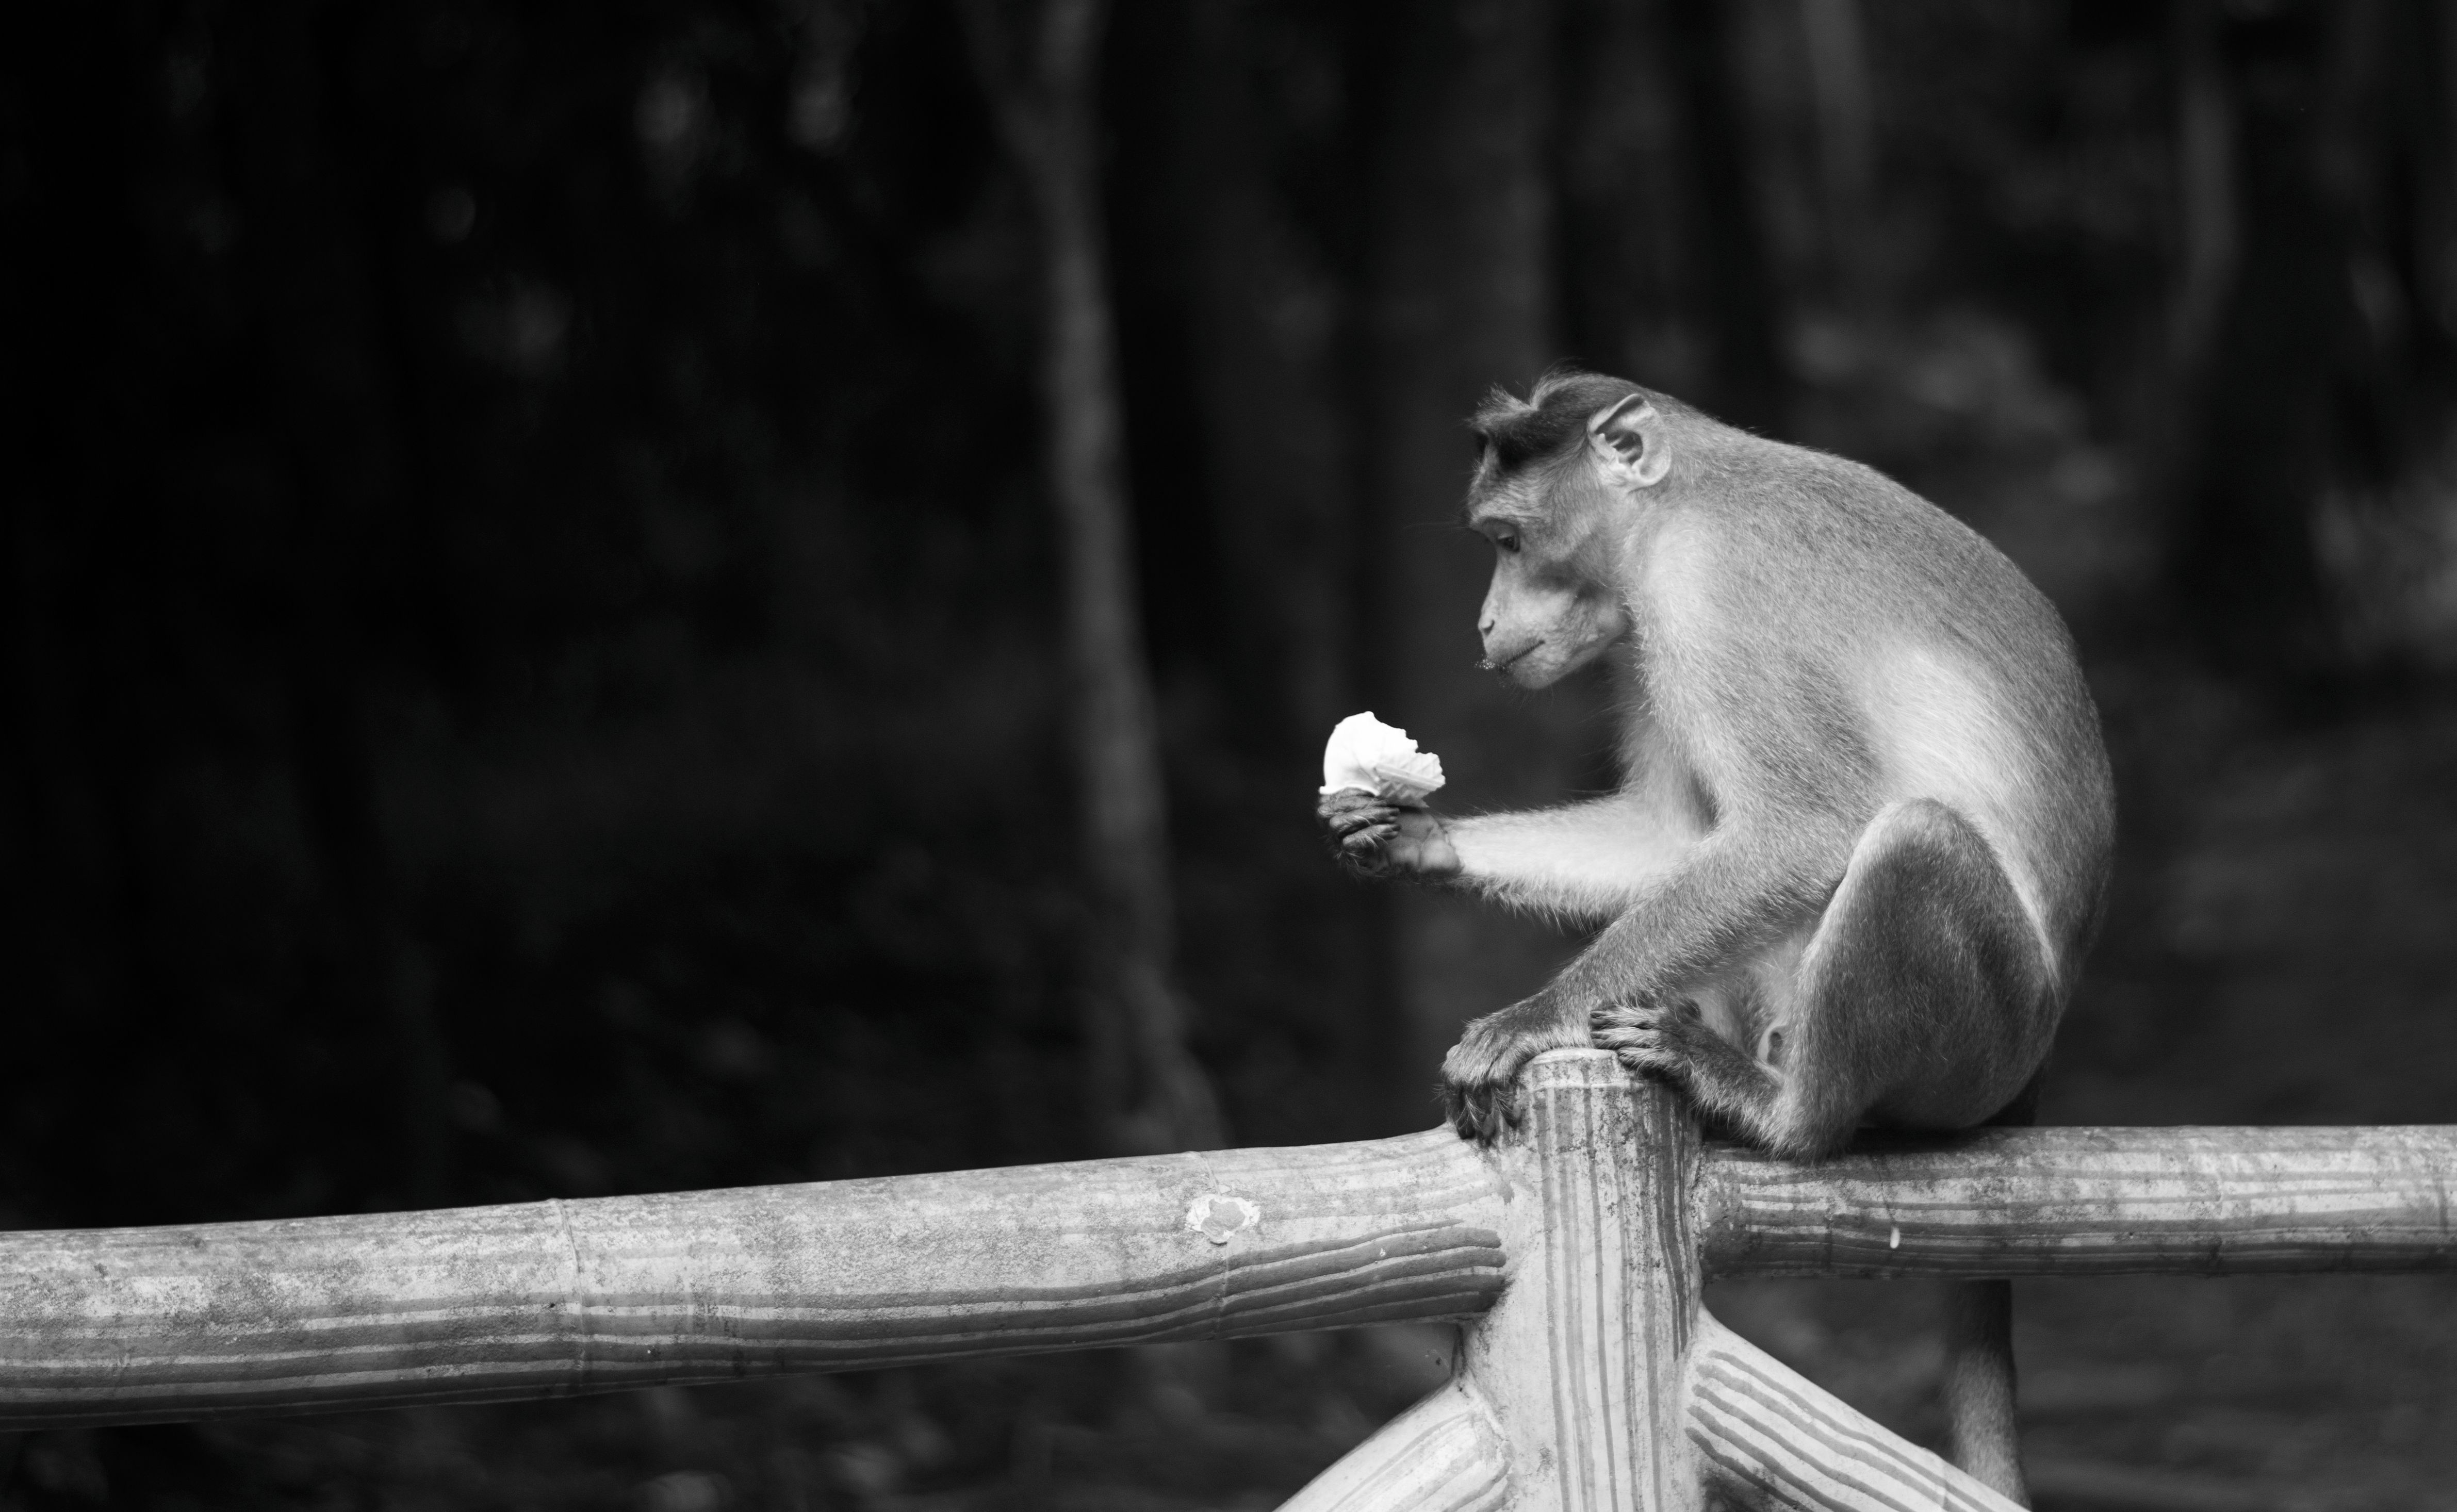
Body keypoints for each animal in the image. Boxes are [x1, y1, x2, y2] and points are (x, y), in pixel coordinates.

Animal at [1318, 371, 2114, 1504]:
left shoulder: (1709, 600)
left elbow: (1810, 828)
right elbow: (1673, 836)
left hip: (1984, 1038)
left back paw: (1782, 1111)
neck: (1678, 502)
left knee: (1908, 839)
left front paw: (1531, 1016)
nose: (1484, 619)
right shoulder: (1646, 633)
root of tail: (2035, 1058)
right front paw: (1413, 837)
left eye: (1508, 541)